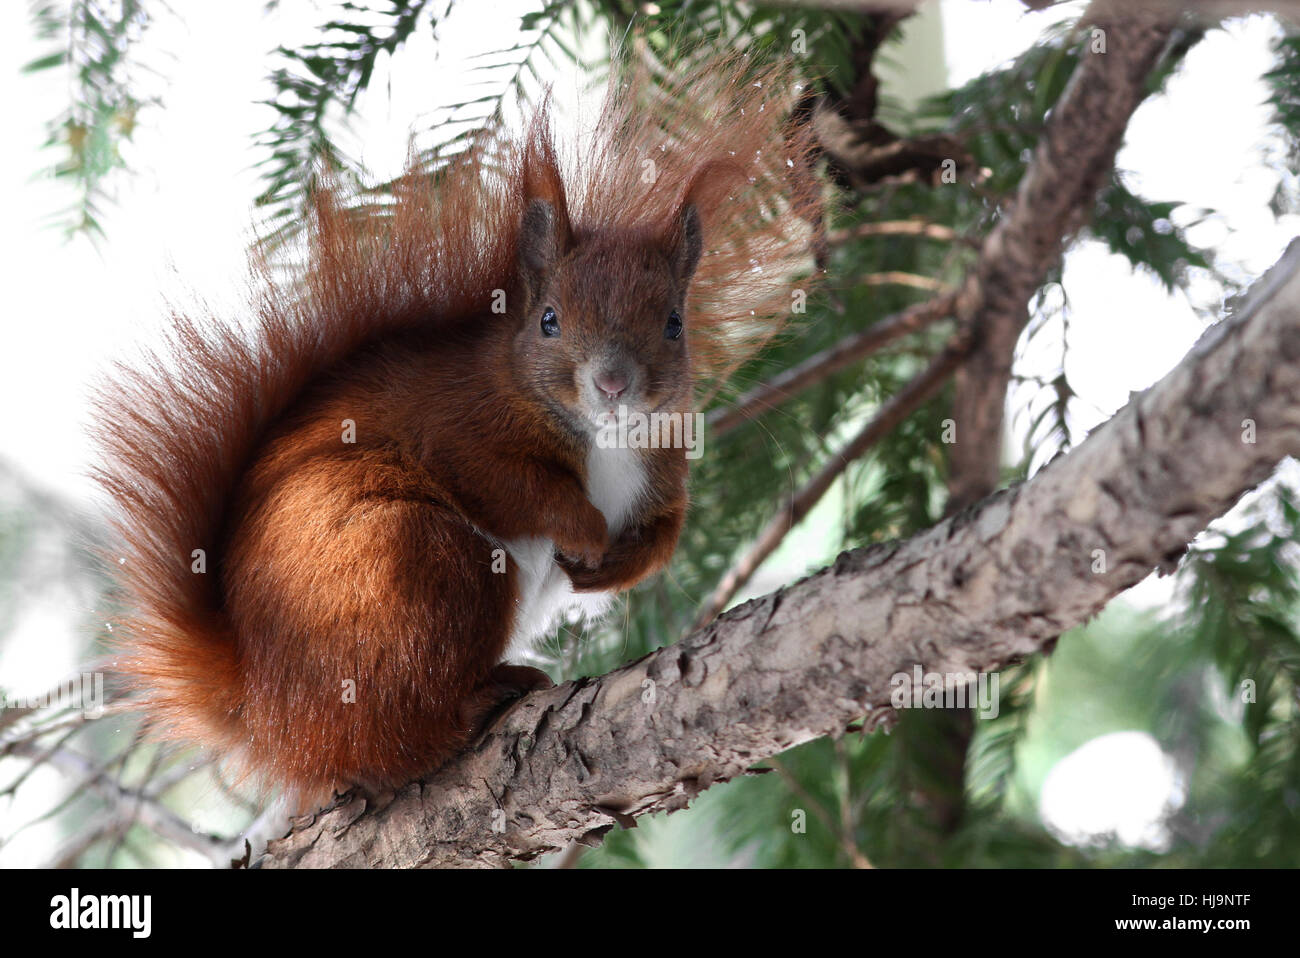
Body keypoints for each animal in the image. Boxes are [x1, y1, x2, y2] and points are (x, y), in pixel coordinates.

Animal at [93, 54, 821, 808]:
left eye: (675, 324)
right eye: (549, 320)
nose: (614, 383)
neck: (603, 439)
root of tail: (270, 716)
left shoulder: (665, 465)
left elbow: (663, 538)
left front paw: (608, 567)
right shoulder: (455, 427)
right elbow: (513, 485)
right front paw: (586, 531)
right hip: (418, 562)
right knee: (394, 744)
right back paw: (480, 700)